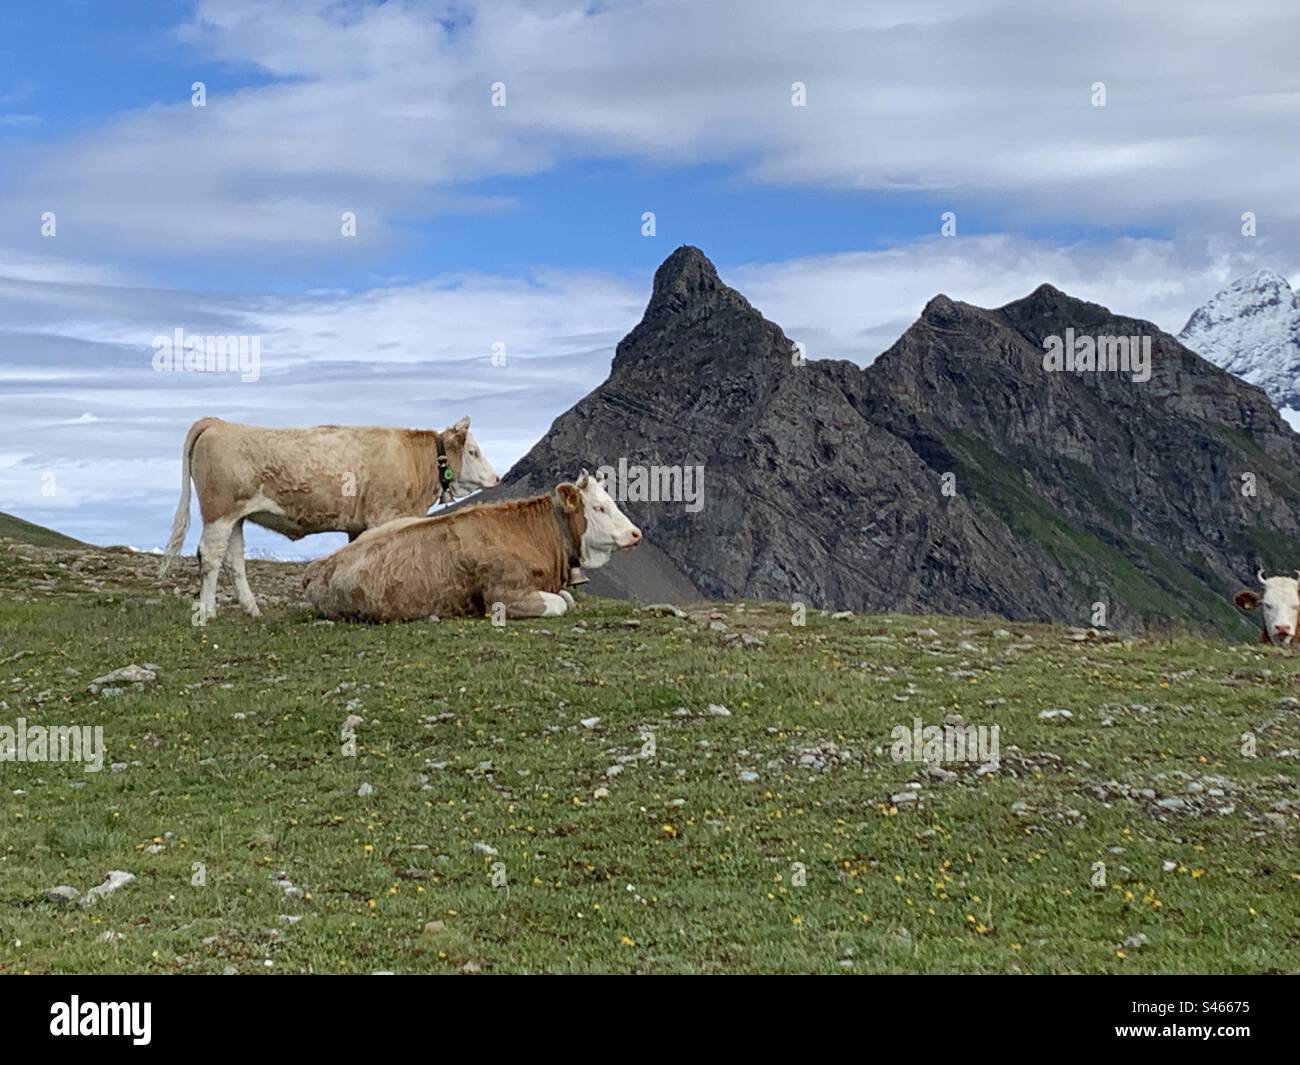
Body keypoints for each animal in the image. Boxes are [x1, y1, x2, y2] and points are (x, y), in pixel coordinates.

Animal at [160, 416, 499, 621]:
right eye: (473, 451)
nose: (496, 478)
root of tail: (218, 423)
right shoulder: (385, 516)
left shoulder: (359, 527)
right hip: (220, 513)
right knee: (210, 556)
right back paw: (206, 613)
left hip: (235, 518)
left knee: (233, 560)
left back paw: (250, 609)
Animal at [302, 471, 642, 622]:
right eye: (599, 507)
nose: (636, 533)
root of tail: (317, 565)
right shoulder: (502, 597)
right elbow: (560, 603)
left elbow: (568, 598)